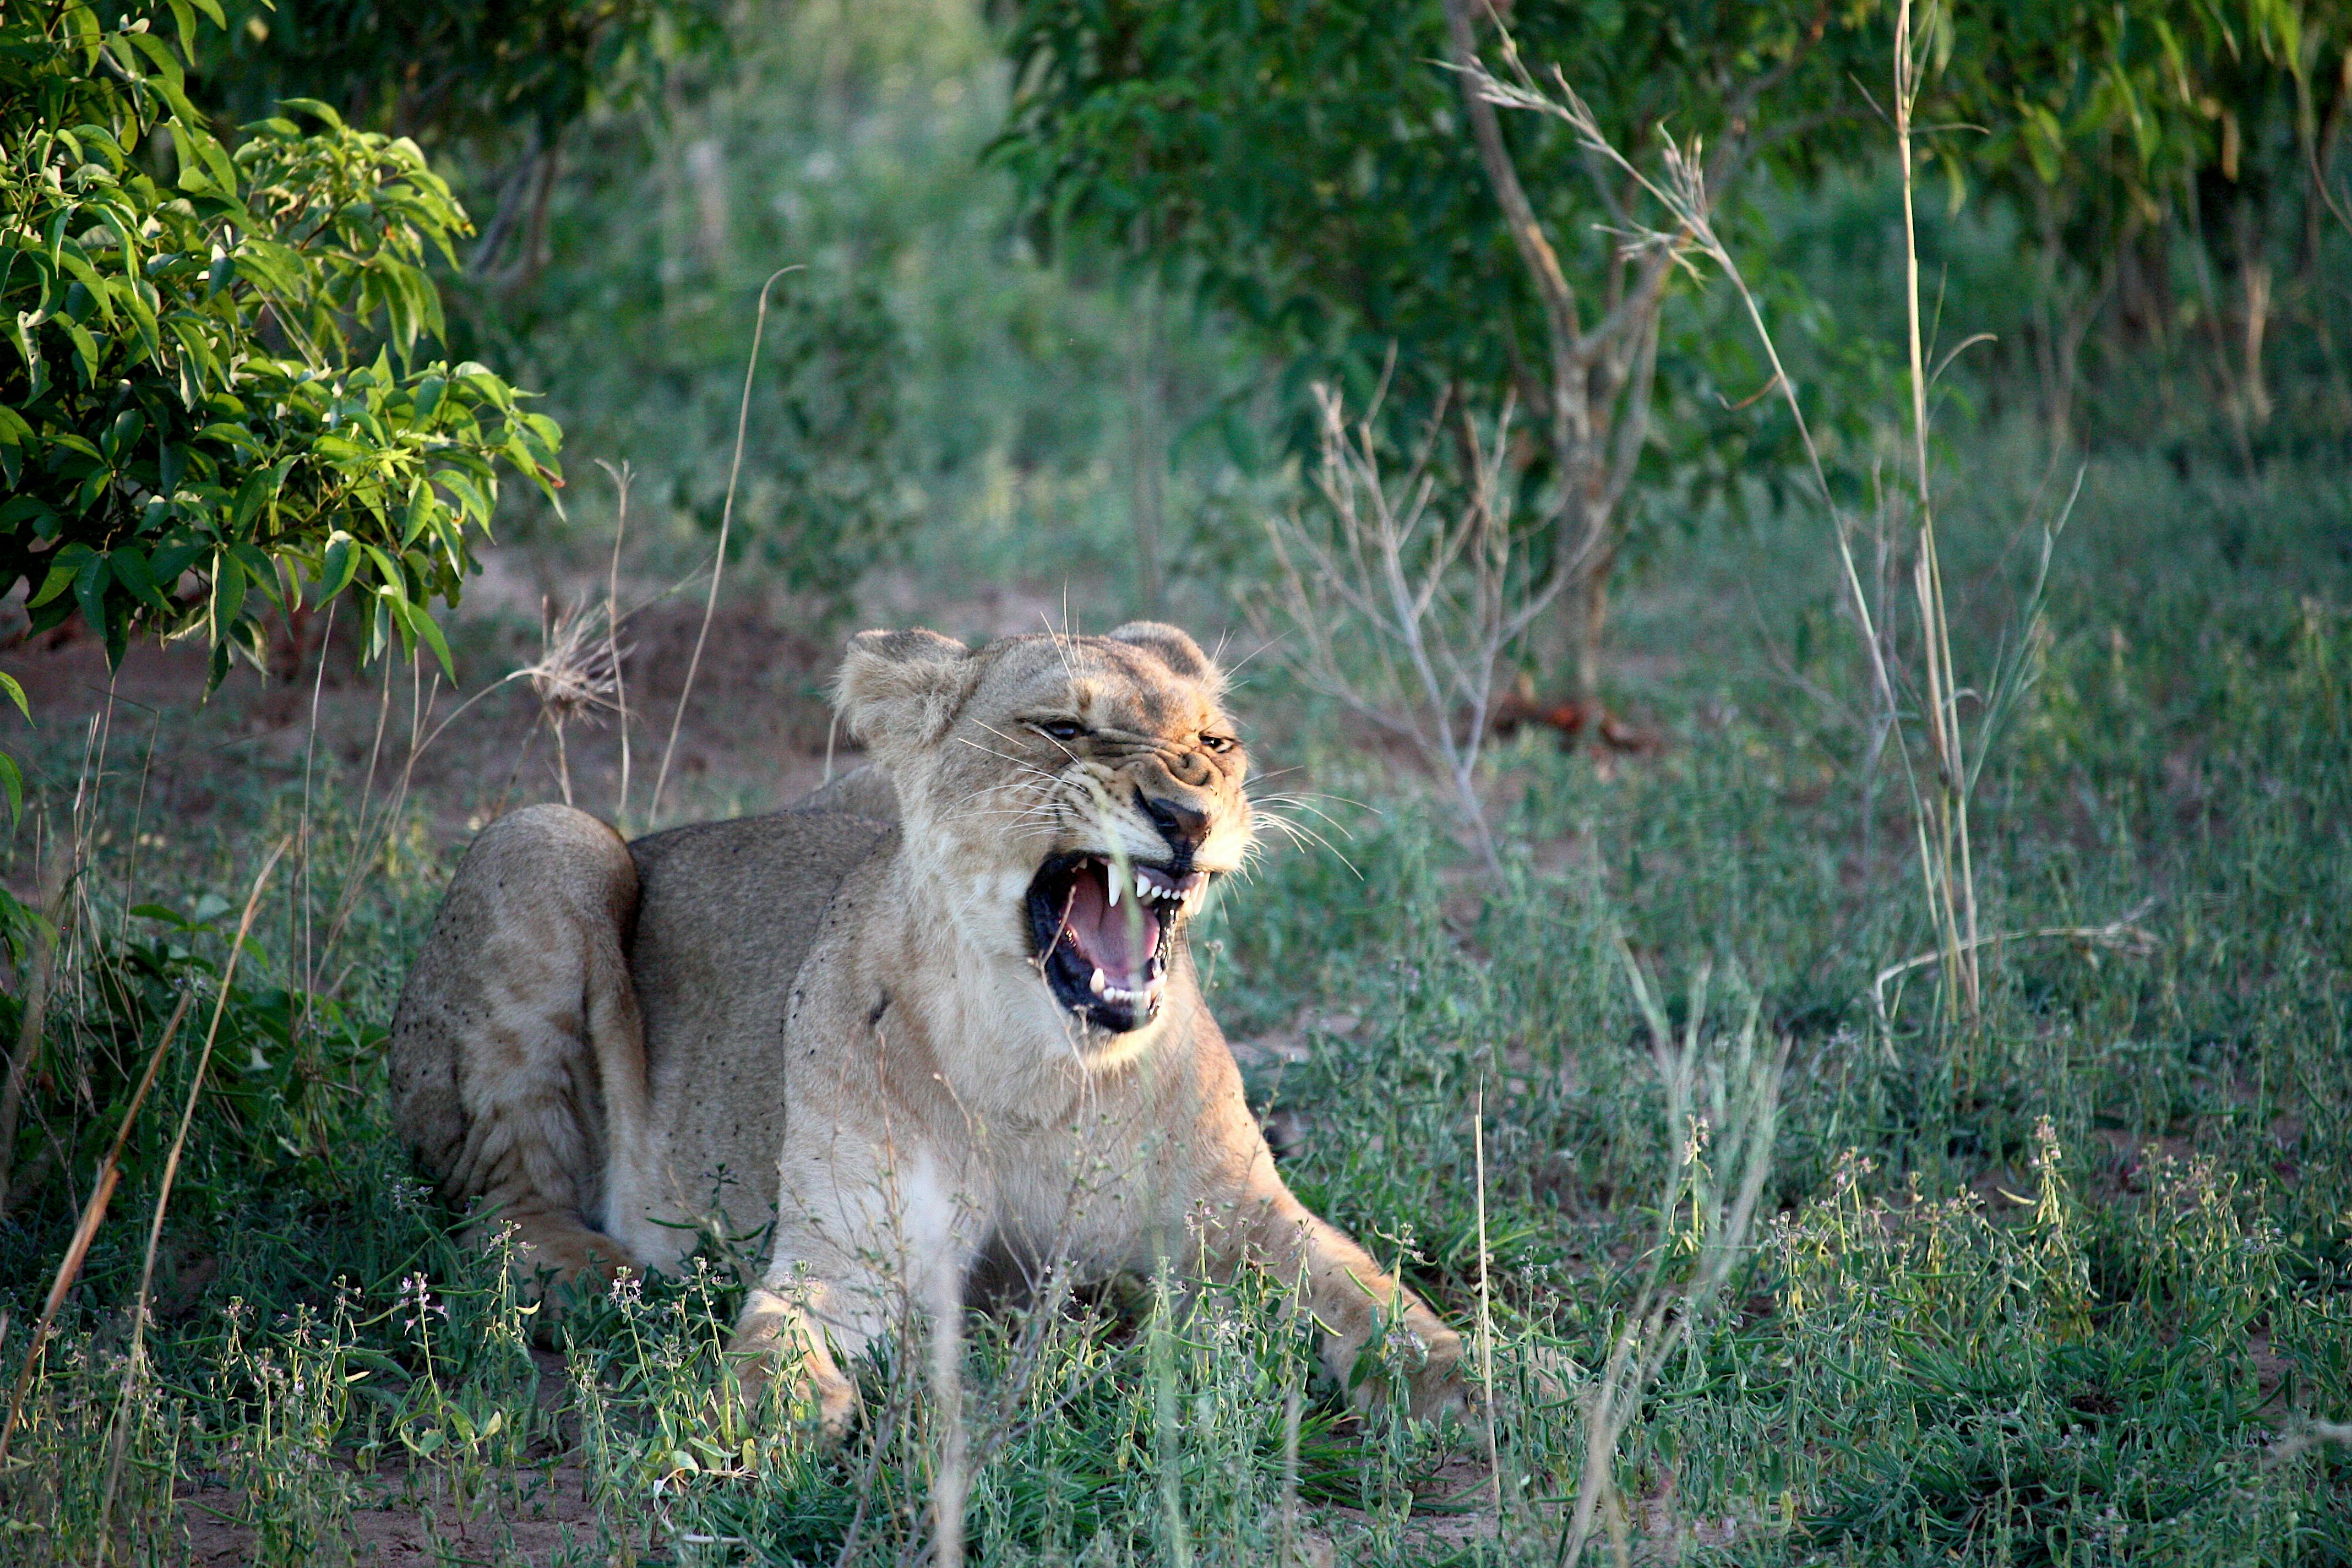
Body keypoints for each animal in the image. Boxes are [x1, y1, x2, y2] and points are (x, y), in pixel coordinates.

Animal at [389, 621, 1464, 1432]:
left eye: (1218, 745)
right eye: (1063, 727)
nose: (1189, 816)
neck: (1044, 1064)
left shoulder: (1241, 1213)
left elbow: (1362, 1283)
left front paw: (1454, 1377)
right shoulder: (850, 1244)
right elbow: (780, 1330)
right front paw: (780, 1412)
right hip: (543, 837)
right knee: (496, 1208)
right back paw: (606, 1275)